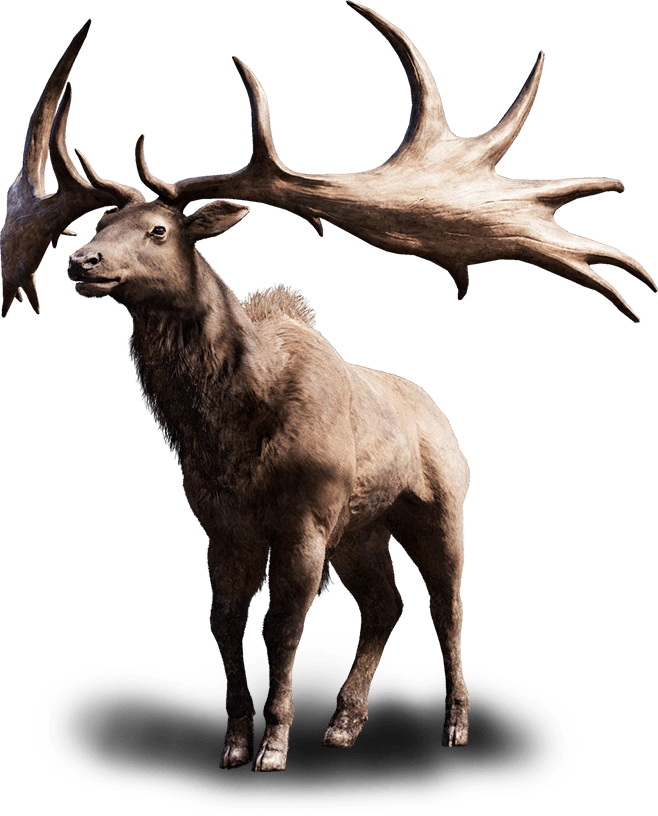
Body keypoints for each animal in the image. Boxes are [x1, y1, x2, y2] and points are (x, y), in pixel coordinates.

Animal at [0, 2, 654, 773]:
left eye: (159, 230)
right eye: (100, 223)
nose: (81, 263)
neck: (231, 434)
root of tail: (436, 410)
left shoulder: (307, 521)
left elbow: (283, 632)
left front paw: (272, 748)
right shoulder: (221, 526)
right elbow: (225, 627)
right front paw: (233, 742)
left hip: (437, 505)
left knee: (448, 606)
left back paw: (454, 725)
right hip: (362, 526)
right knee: (385, 607)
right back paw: (345, 723)